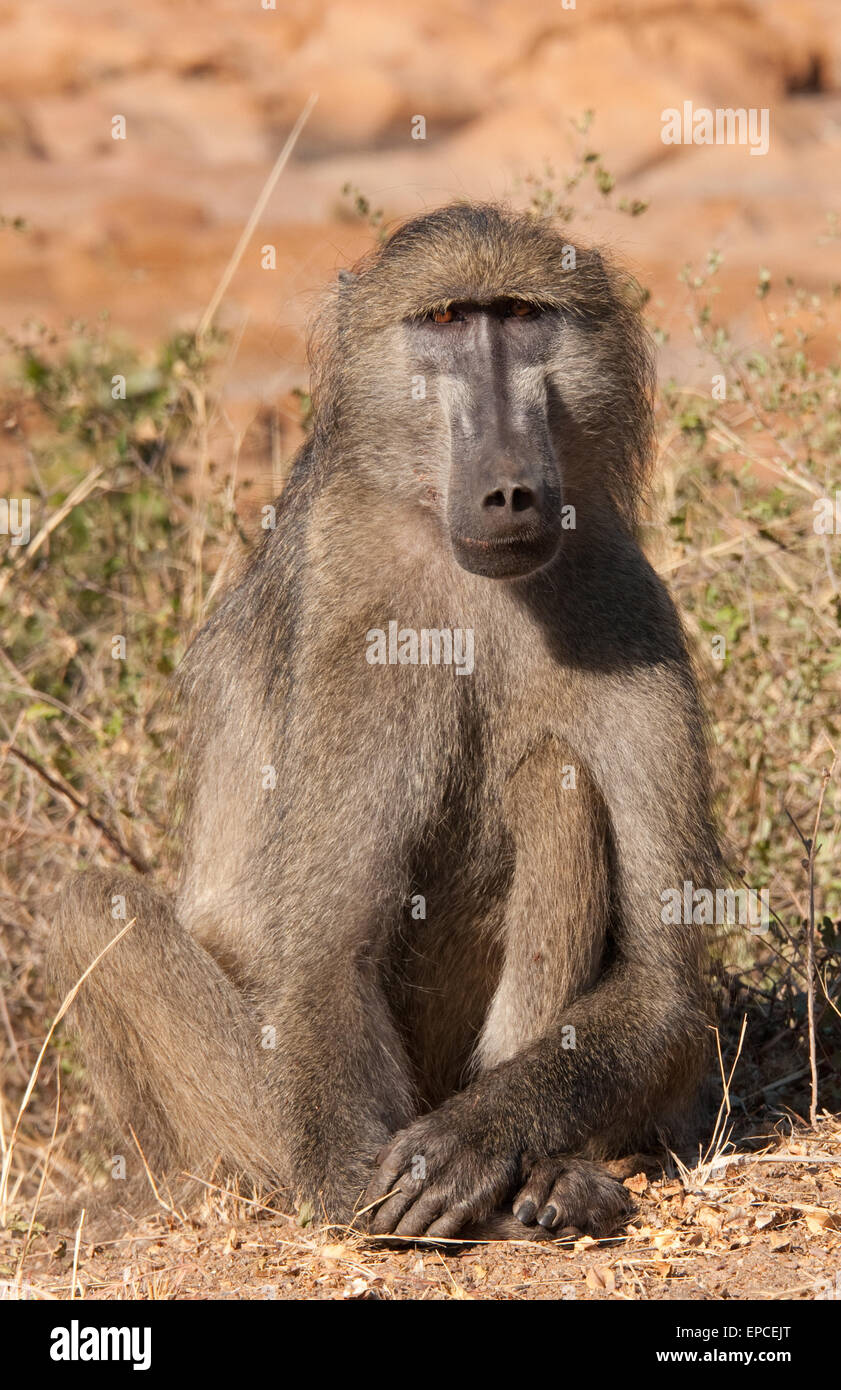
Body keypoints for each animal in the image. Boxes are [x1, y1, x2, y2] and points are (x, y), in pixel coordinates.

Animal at [50, 202, 719, 1241]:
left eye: (521, 315)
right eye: (444, 321)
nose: (507, 487)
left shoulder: (626, 597)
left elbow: (662, 978)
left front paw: (478, 1142)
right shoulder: (360, 628)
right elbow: (329, 957)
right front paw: (351, 1188)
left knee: (555, 777)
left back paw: (548, 1177)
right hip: (247, 1109)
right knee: (93, 908)